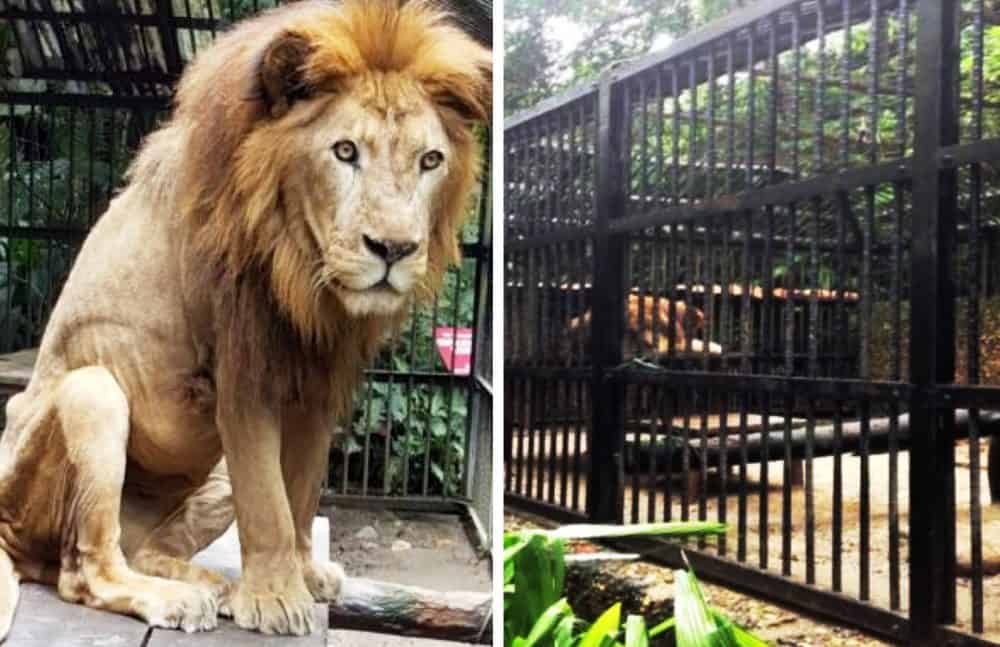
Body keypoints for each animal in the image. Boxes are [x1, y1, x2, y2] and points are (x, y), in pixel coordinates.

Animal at [0, 0, 490, 638]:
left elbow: (300, 492)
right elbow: (268, 503)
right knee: (85, 570)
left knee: (139, 550)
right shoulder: (244, 373)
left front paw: (304, 574)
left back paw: (207, 582)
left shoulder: (318, 375)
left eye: (430, 161)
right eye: (345, 152)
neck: (302, 268)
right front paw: (278, 599)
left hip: (208, 479)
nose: (394, 249)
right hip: (92, 395)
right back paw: (178, 598)